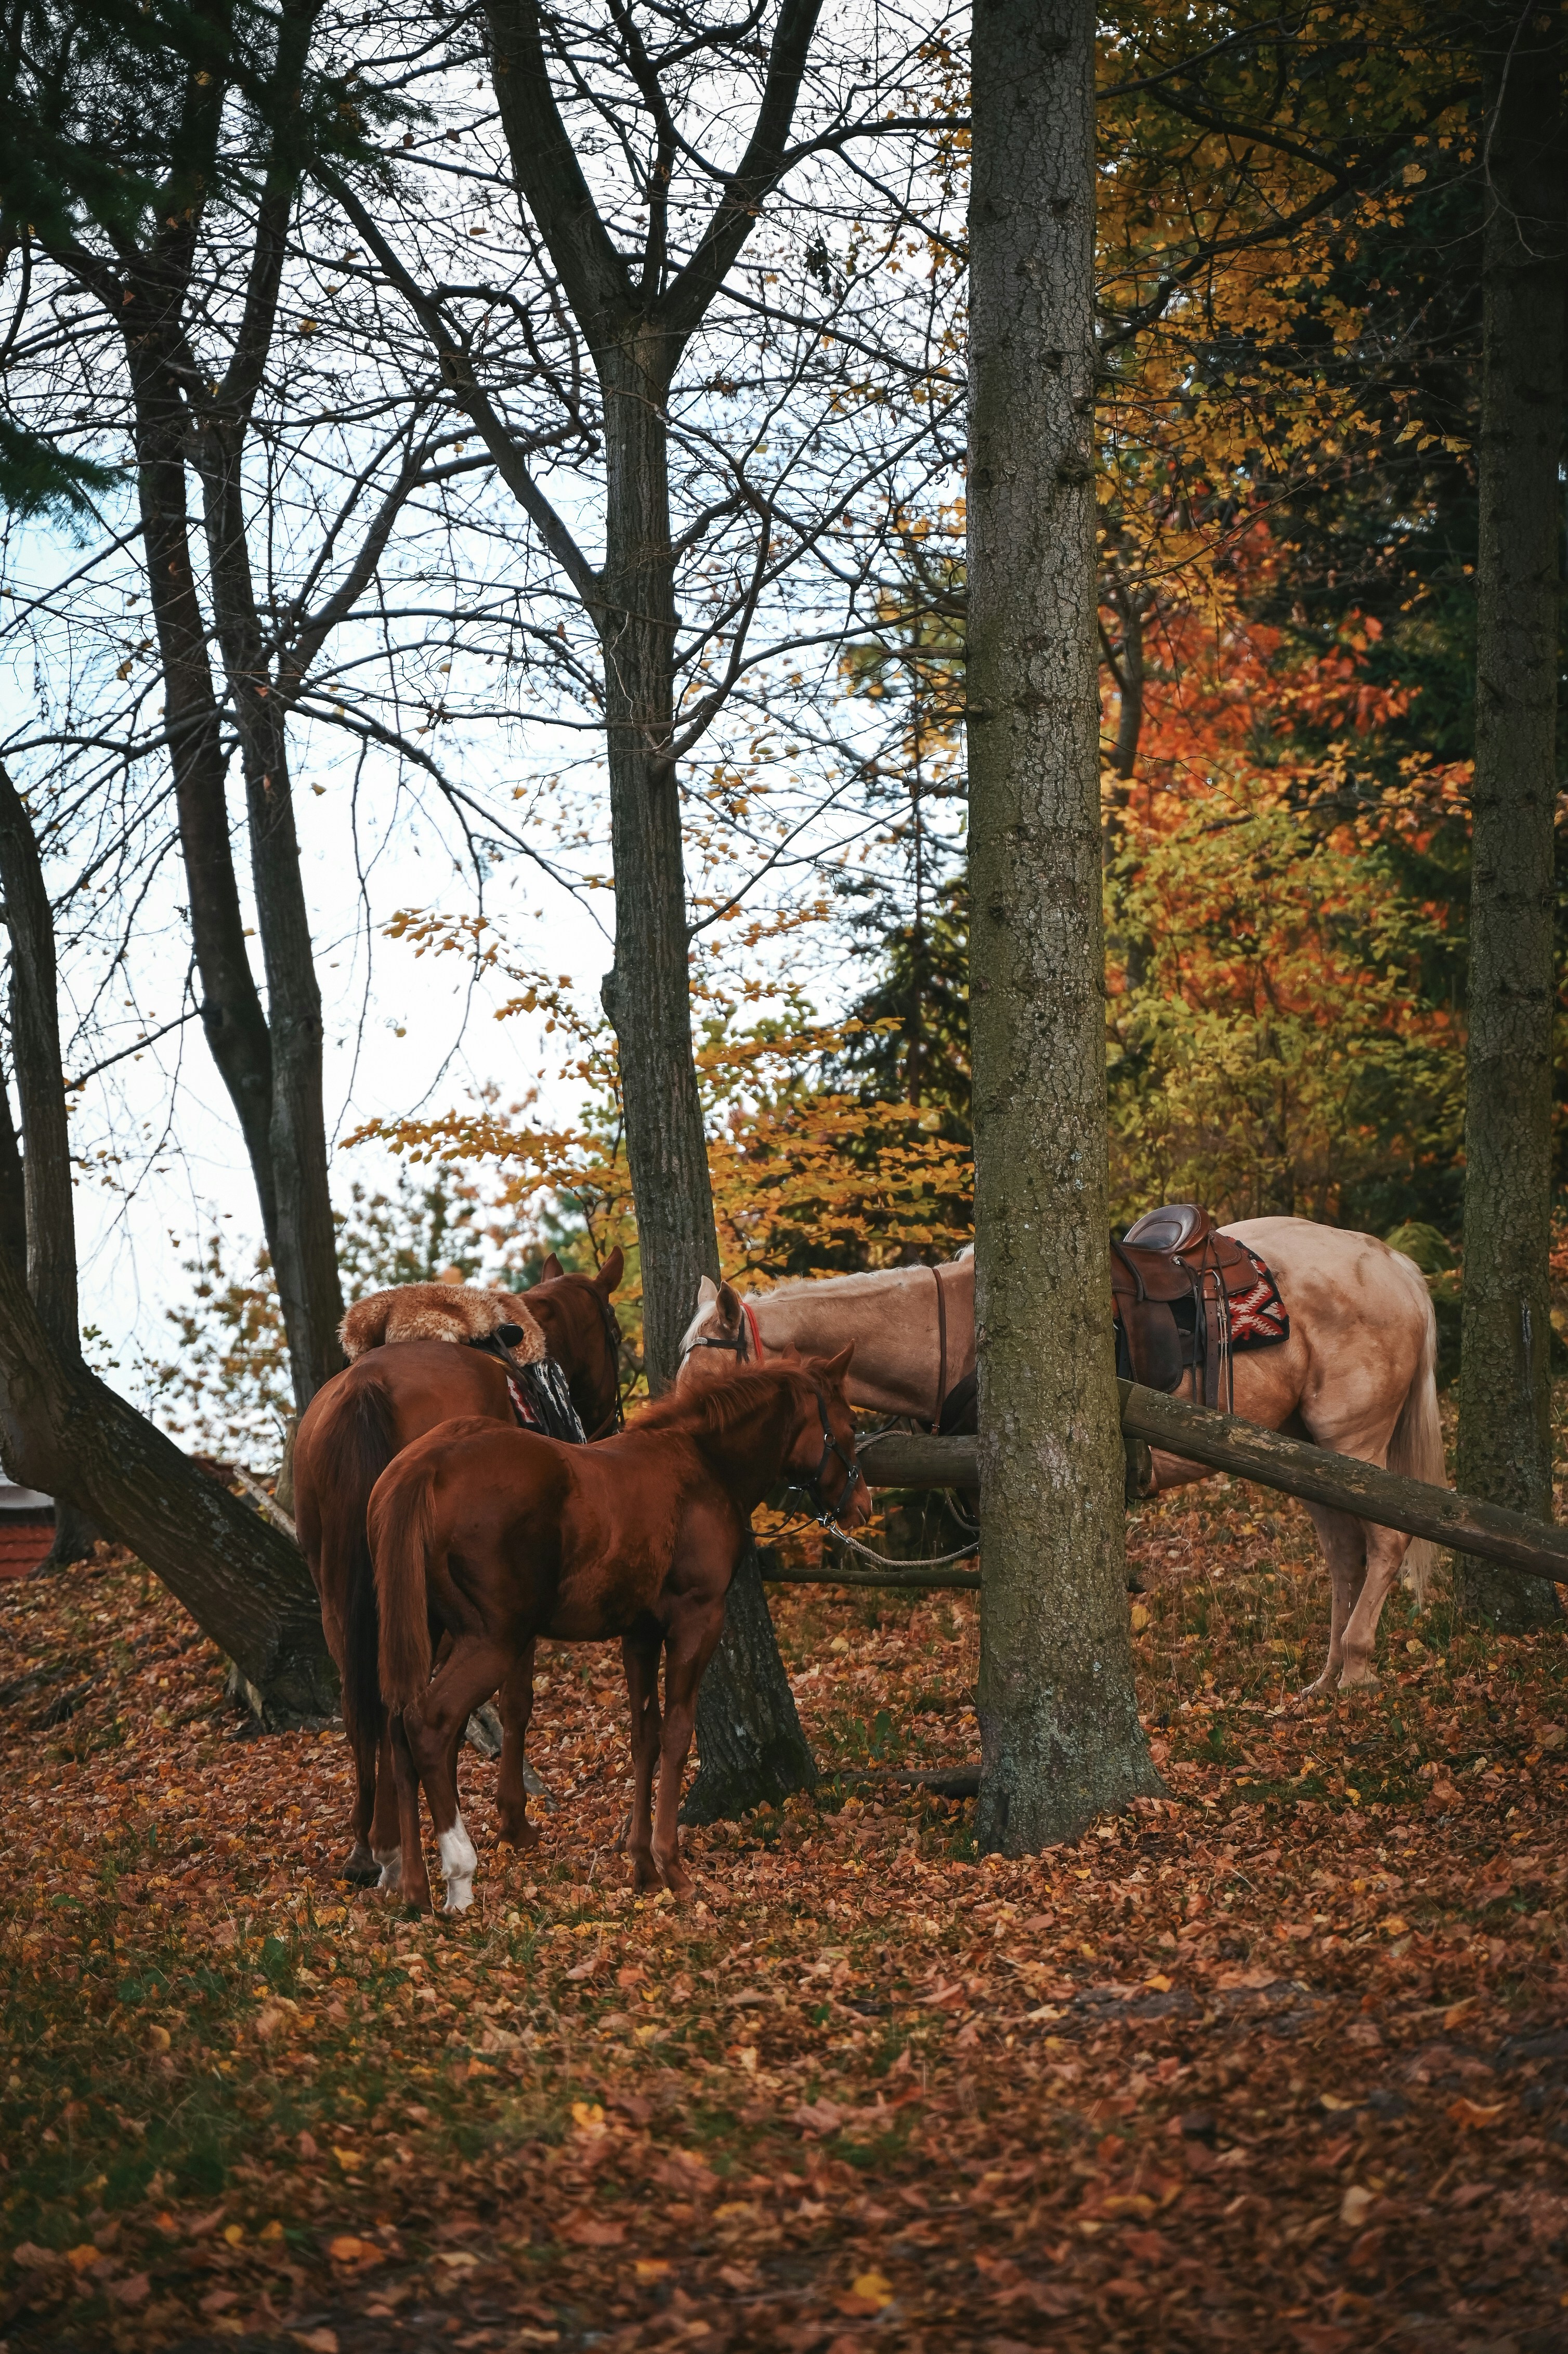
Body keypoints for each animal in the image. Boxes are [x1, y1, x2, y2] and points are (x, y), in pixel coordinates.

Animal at [293, 1249, 624, 1885]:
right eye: (617, 1335)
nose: (614, 1423)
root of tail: (366, 1387)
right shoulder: (506, 1613)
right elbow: (514, 1703)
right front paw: (512, 1821)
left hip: (339, 1593)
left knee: (362, 1700)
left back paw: (368, 1844)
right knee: (404, 1705)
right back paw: (399, 1846)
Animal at [368, 1352, 867, 1913]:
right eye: (851, 1425)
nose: (863, 1505)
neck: (704, 1465)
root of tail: (425, 1465)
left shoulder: (640, 1634)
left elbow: (644, 1737)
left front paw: (643, 1866)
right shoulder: (697, 1620)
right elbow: (676, 1733)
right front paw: (672, 1866)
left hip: (429, 1634)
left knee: (397, 1723)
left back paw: (412, 1883)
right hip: (490, 1641)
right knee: (429, 1723)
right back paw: (457, 1873)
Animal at [676, 1217, 1445, 1694]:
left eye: (710, 1387)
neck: (956, 1334)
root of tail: (1395, 1264)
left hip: (1353, 1440)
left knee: (1386, 1542)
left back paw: (1356, 1669)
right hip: (1312, 1457)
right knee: (1345, 1556)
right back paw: (1325, 1678)